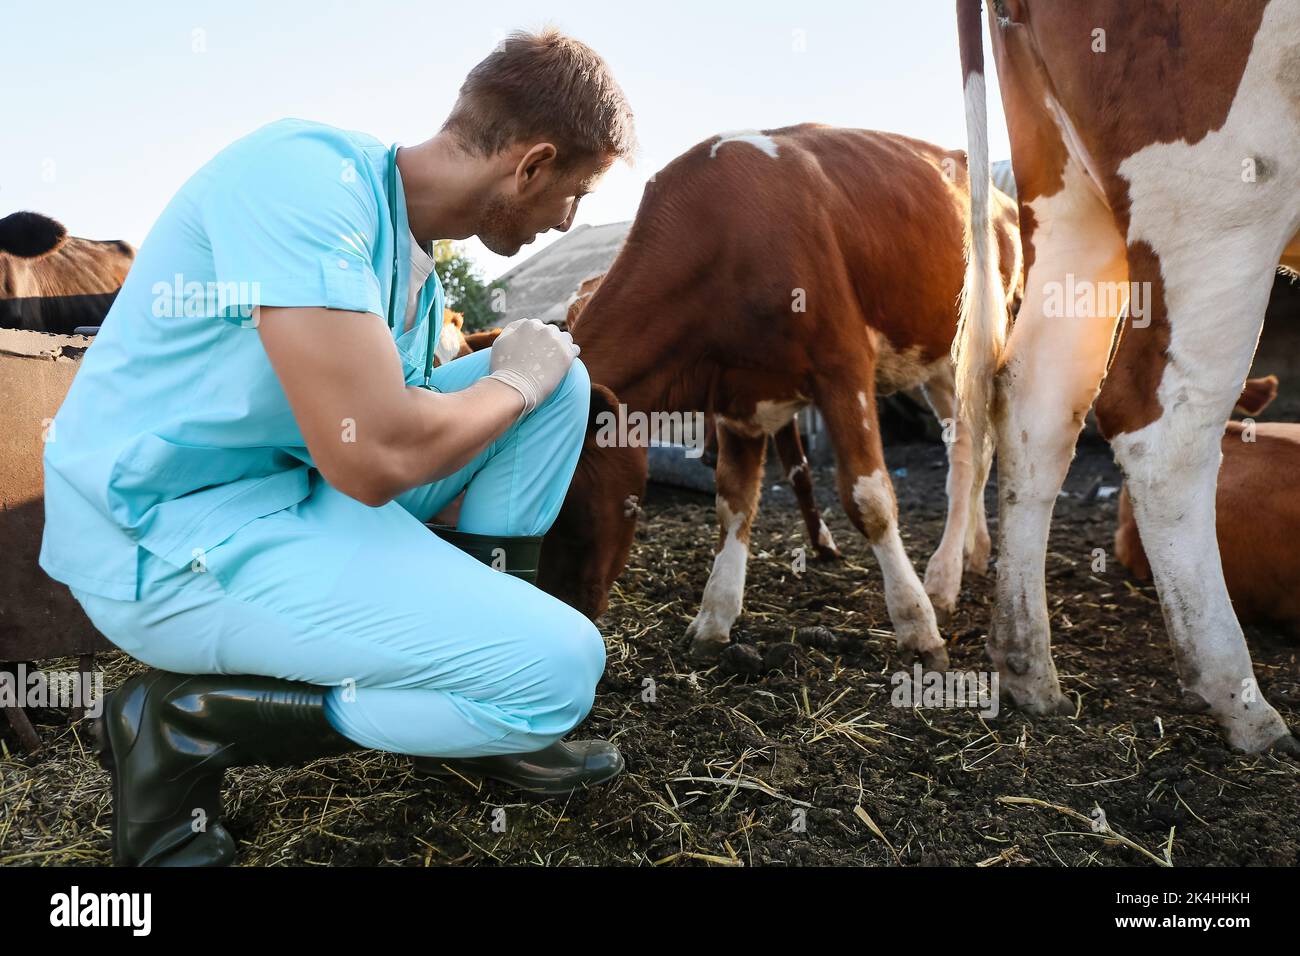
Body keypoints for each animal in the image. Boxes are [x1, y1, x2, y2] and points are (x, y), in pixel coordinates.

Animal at [540, 124, 1022, 669]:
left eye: (558, 505)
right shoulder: (737, 398)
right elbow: (733, 502)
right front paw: (714, 618)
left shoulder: (843, 366)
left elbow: (870, 499)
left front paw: (916, 623)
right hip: (937, 365)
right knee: (972, 452)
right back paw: (973, 553)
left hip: (980, 344)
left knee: (966, 457)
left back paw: (942, 580)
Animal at [954, 0, 1300, 752]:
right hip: (1229, 197)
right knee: (1161, 430)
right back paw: (1241, 700)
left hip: (1069, 198)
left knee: (1036, 403)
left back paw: (1027, 667)